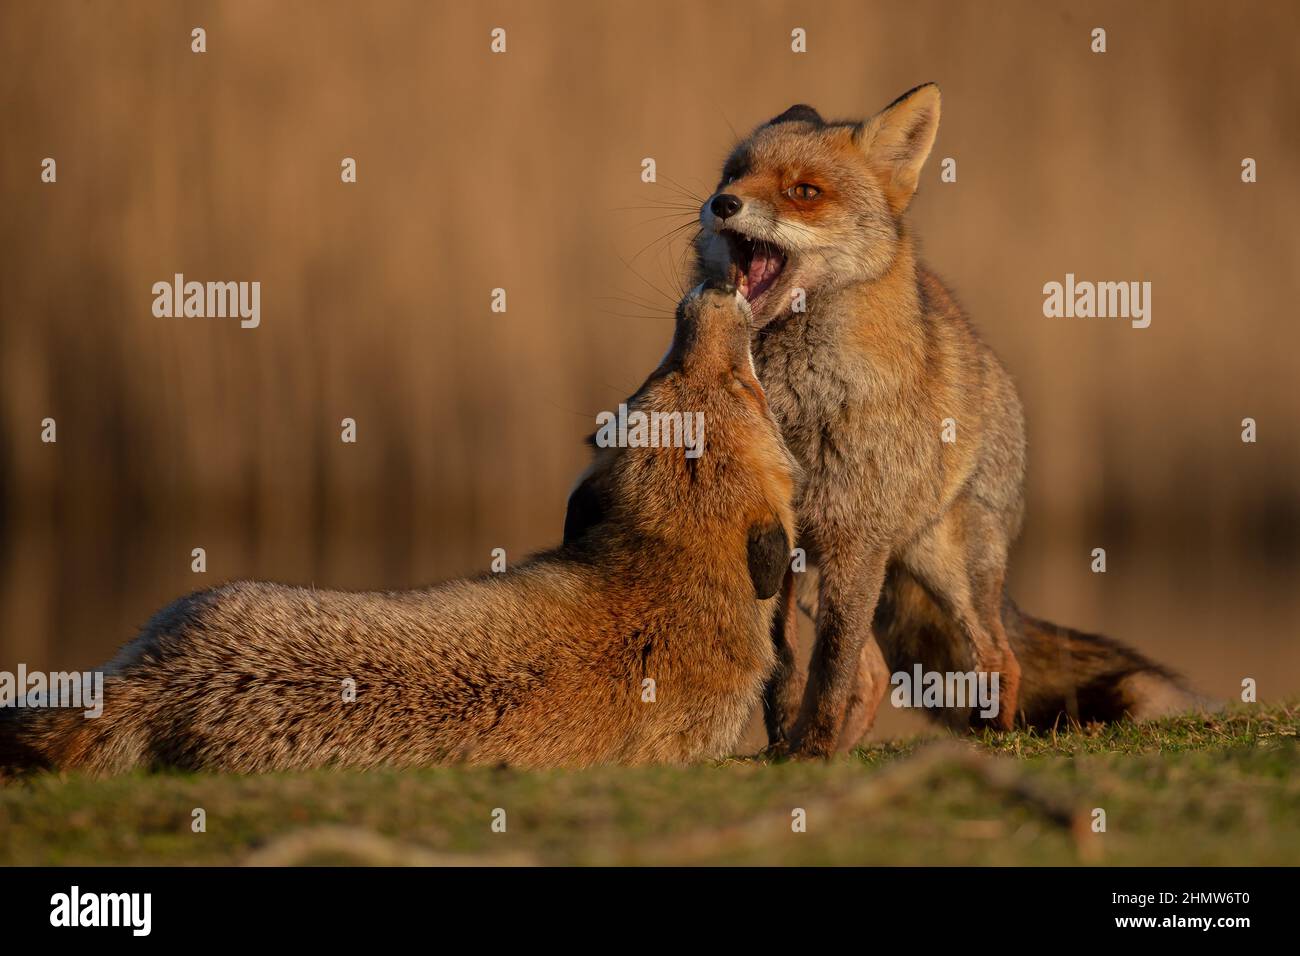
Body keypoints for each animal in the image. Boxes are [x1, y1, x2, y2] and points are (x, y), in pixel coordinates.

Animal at [692, 85, 1206, 757]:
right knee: (874, 673)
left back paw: (988, 740)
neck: (795, 405)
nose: (722, 204)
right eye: (733, 174)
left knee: (998, 655)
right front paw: (790, 750)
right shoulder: (776, 541)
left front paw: (810, 748)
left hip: (944, 563)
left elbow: (829, 668)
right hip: (838, 575)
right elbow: (784, 667)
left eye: (804, 190)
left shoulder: (856, 538)